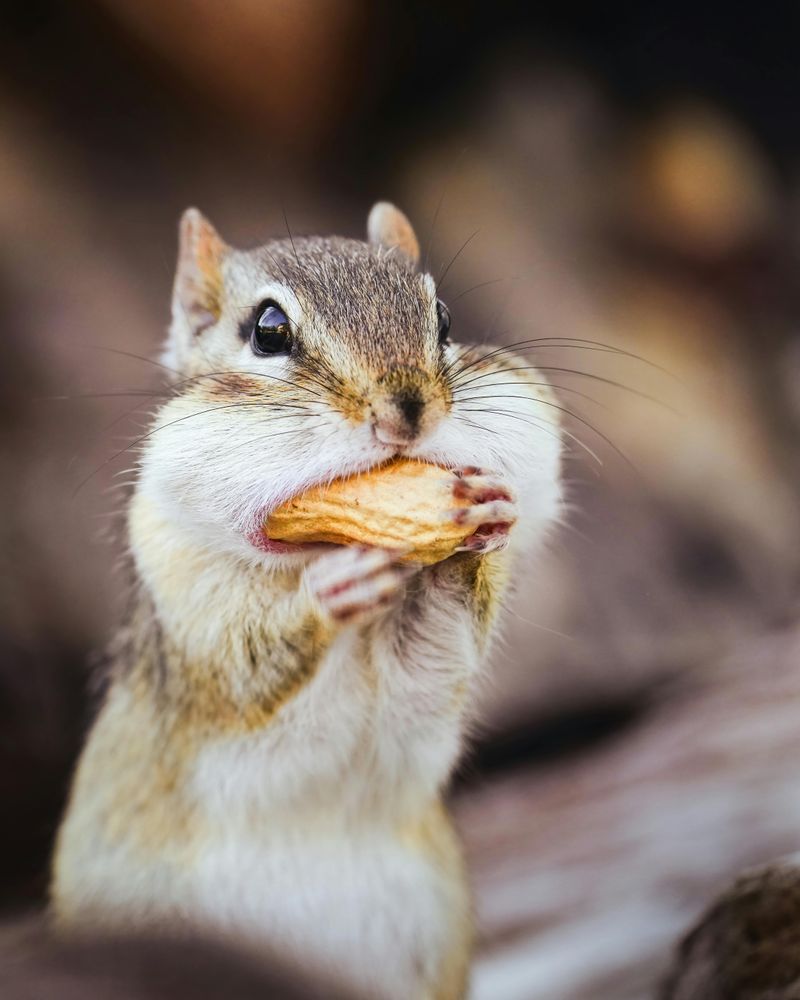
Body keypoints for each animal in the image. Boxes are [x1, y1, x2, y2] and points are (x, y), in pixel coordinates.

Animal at [50, 202, 562, 999]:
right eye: (267, 331)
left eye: (444, 318)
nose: (407, 412)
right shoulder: (190, 617)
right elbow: (245, 670)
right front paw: (327, 594)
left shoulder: (419, 697)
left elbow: (434, 663)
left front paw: (480, 523)